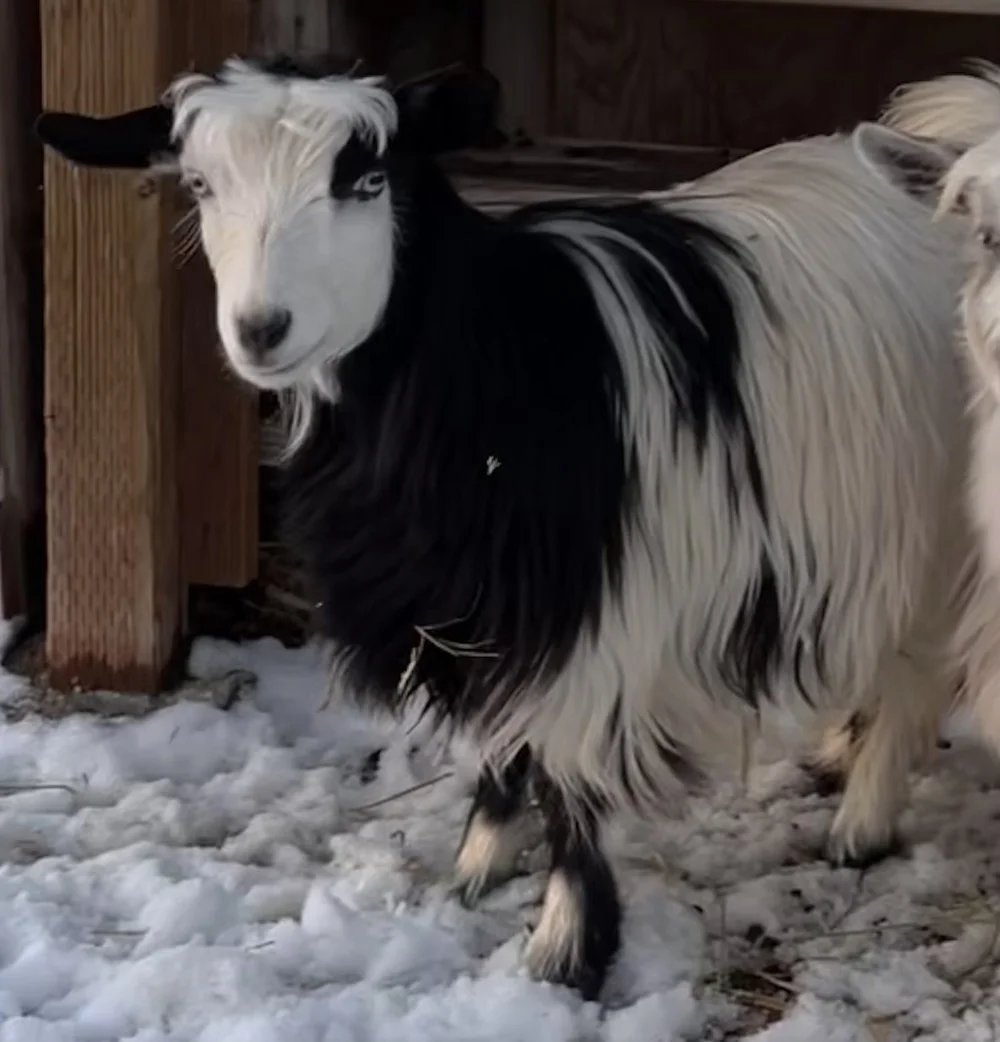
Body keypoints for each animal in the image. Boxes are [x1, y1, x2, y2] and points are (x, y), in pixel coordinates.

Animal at [36, 57, 973, 1000]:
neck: (494, 364)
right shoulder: (472, 604)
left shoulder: (597, 615)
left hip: (936, 529)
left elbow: (570, 777)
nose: (262, 330)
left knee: (915, 669)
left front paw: (564, 950)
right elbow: (498, 740)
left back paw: (863, 821)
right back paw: (838, 752)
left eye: (366, 181)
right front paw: (477, 863)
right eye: (199, 184)